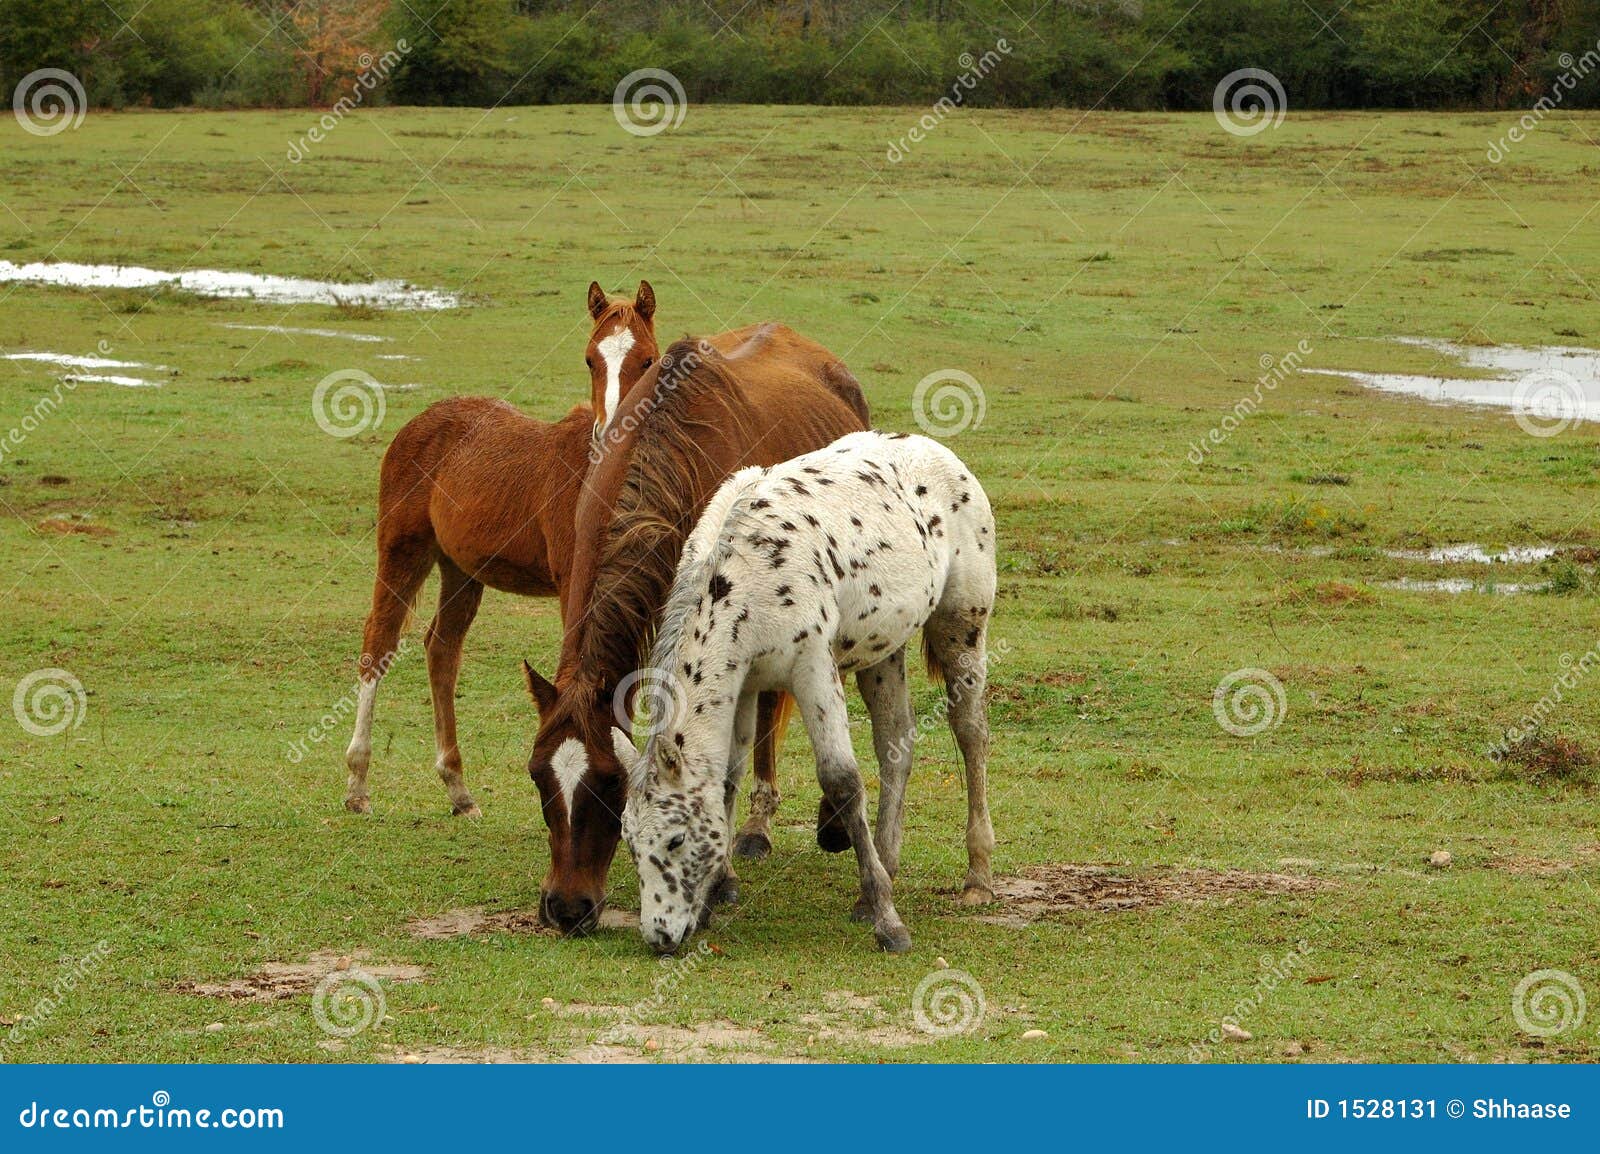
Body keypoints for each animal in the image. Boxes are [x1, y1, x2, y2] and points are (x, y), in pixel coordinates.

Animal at [615, 431, 997, 955]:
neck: (743, 575)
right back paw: (885, 868)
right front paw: (717, 893)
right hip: (882, 651)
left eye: (674, 840)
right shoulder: (744, 680)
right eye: (630, 842)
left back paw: (976, 876)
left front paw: (888, 922)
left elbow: (841, 780)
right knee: (896, 741)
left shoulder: (813, 666)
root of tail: (939, 452)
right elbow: (729, 777)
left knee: (971, 734)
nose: (659, 935)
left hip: (961, 627)